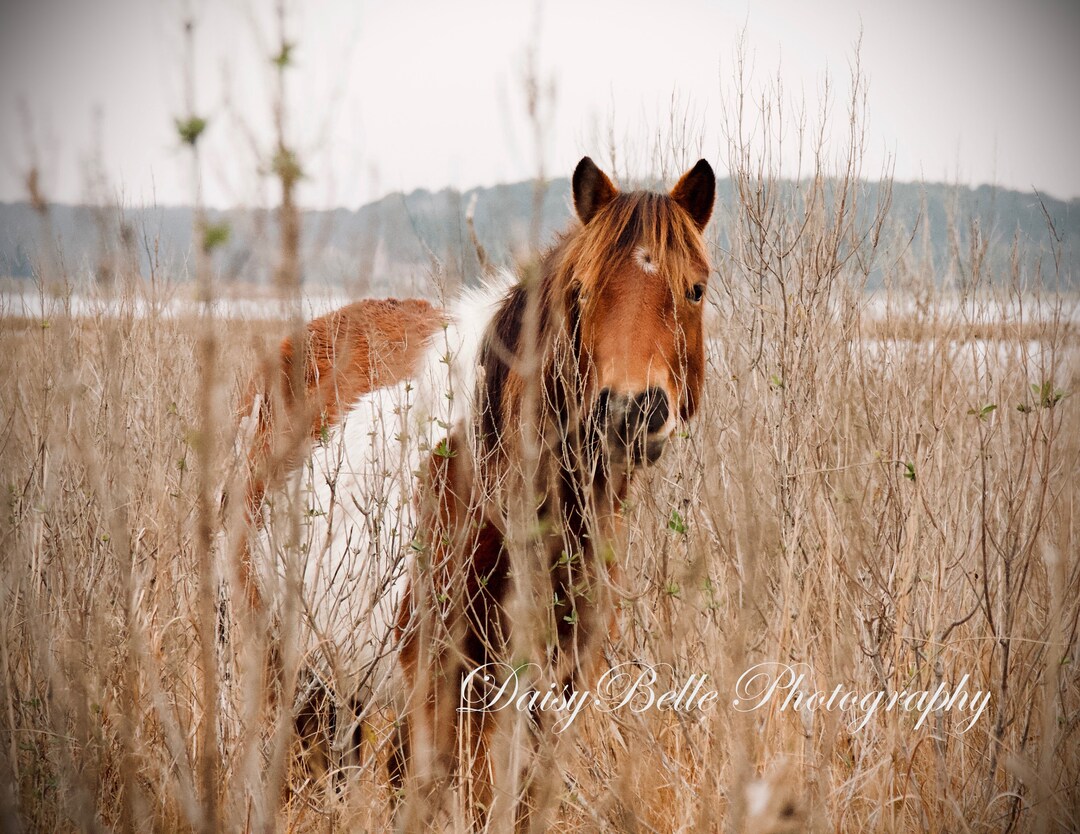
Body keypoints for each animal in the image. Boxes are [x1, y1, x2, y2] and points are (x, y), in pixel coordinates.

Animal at [233, 156, 715, 825]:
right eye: (582, 293)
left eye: (694, 290)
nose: (630, 411)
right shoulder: (448, 696)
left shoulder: (555, 693)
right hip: (288, 662)